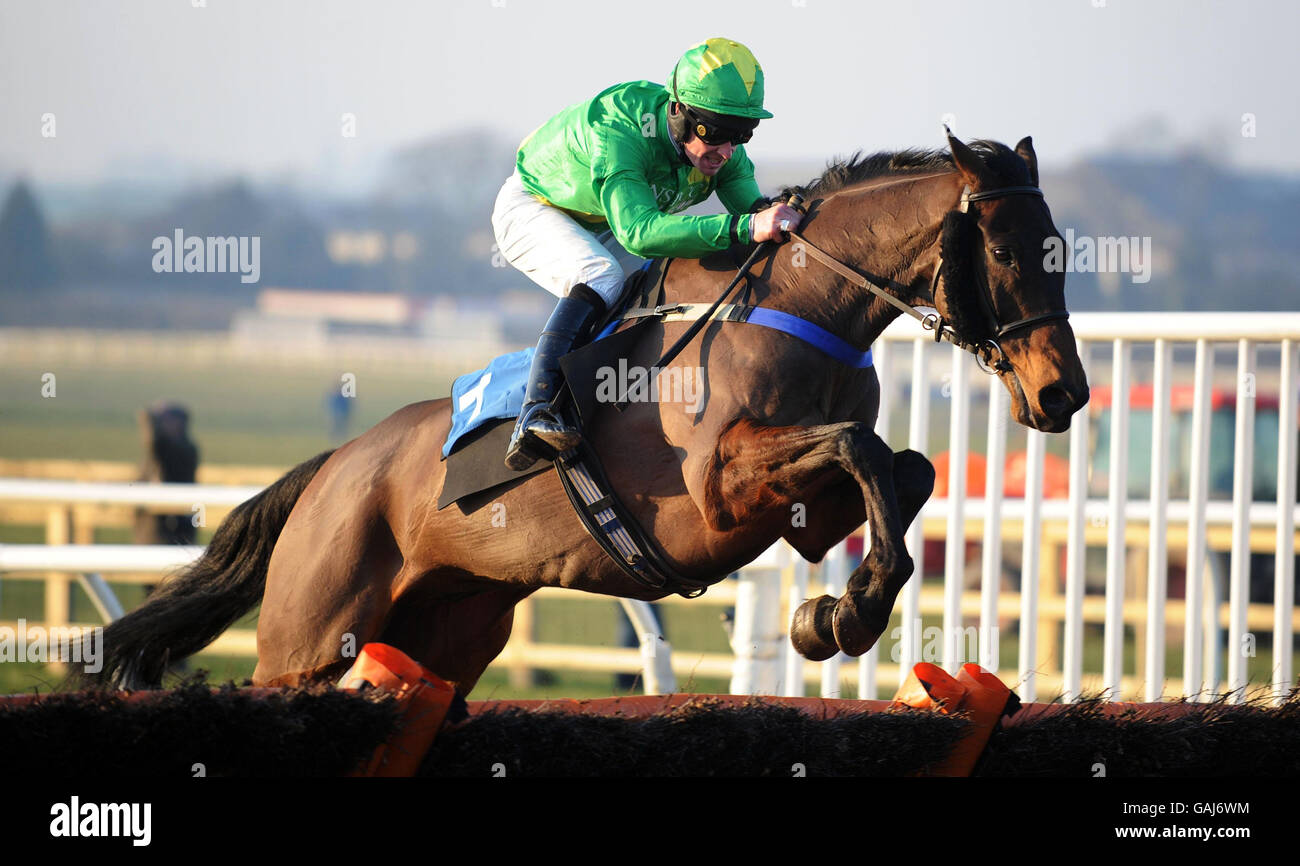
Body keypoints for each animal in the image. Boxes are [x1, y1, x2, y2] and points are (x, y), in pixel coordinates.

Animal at [82, 132, 1088, 696]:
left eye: (1062, 245)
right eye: (1004, 250)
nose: (1064, 393)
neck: (799, 307)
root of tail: (334, 468)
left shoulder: (798, 506)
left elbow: (899, 467)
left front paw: (833, 610)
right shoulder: (718, 490)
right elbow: (859, 447)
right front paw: (846, 613)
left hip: (446, 634)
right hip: (308, 637)